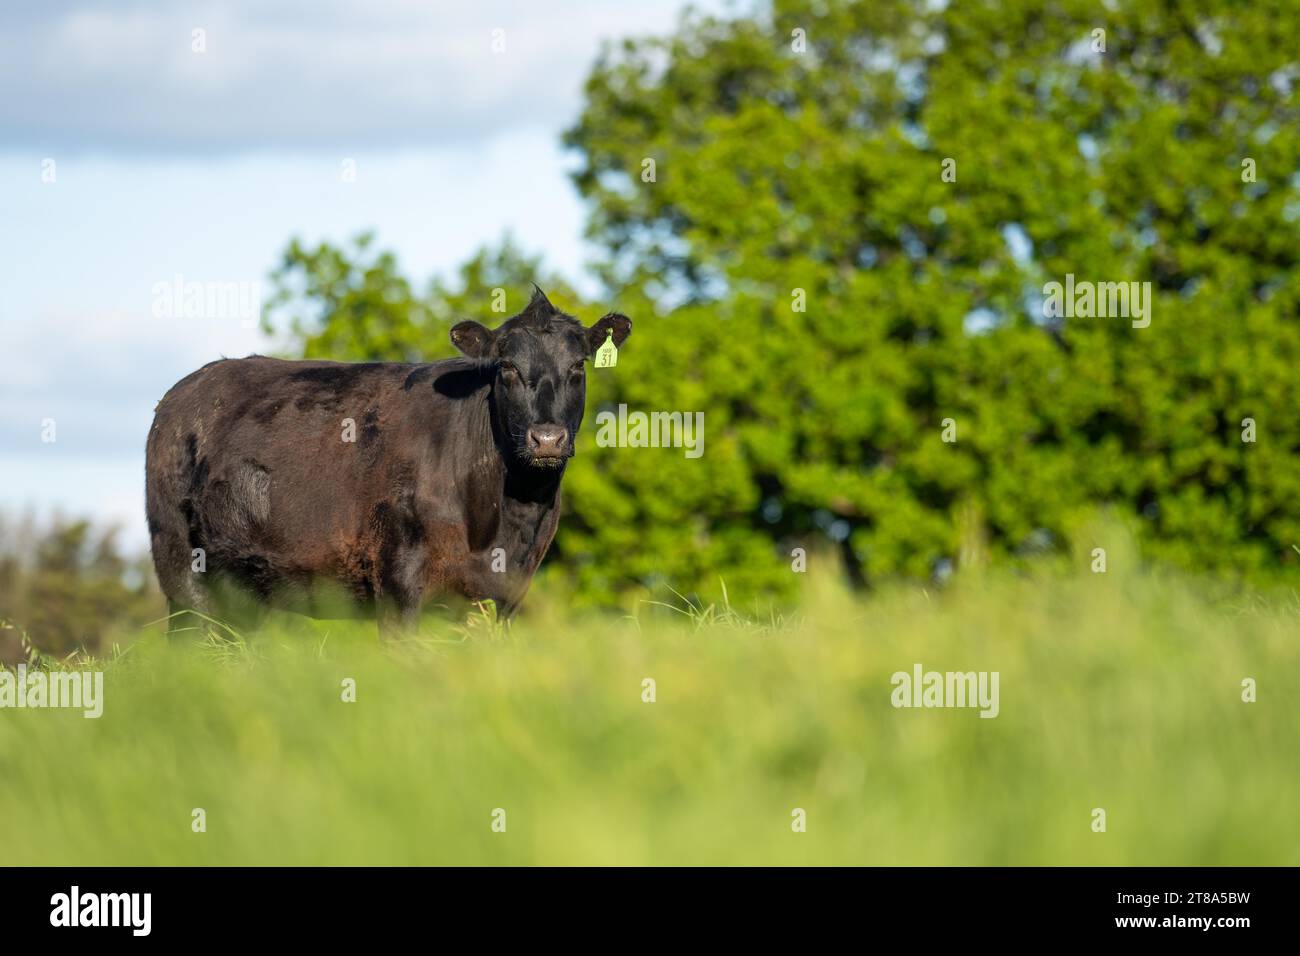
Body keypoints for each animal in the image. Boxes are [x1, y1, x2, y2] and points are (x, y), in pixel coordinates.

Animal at [144, 287, 631, 638]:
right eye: (507, 367)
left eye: (579, 366)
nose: (547, 438)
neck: (509, 514)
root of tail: (184, 390)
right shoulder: (400, 583)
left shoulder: (507, 593)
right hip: (181, 570)